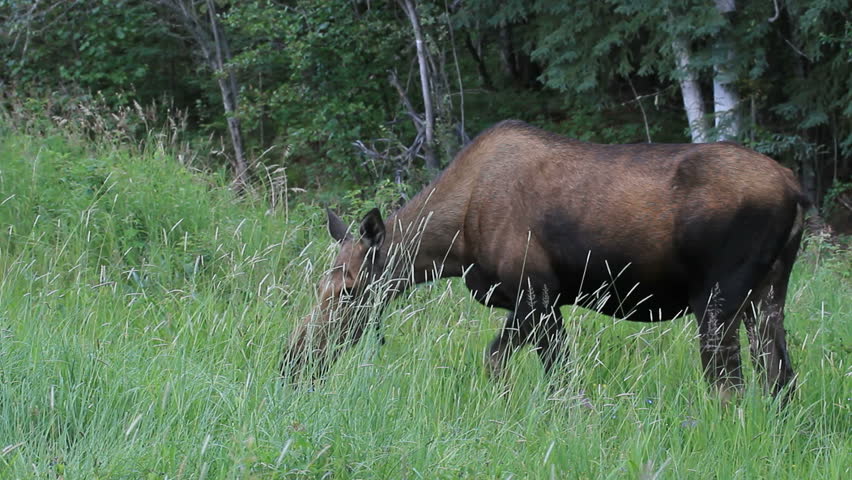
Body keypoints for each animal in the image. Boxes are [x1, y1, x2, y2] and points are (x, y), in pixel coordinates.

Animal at [283, 120, 808, 402]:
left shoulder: (538, 293)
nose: (294, 359)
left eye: (349, 290)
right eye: (320, 287)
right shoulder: (529, 302)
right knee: (781, 379)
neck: (454, 244)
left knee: (730, 388)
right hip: (767, 294)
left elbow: (548, 376)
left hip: (718, 300)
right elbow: (503, 361)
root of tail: (796, 189)